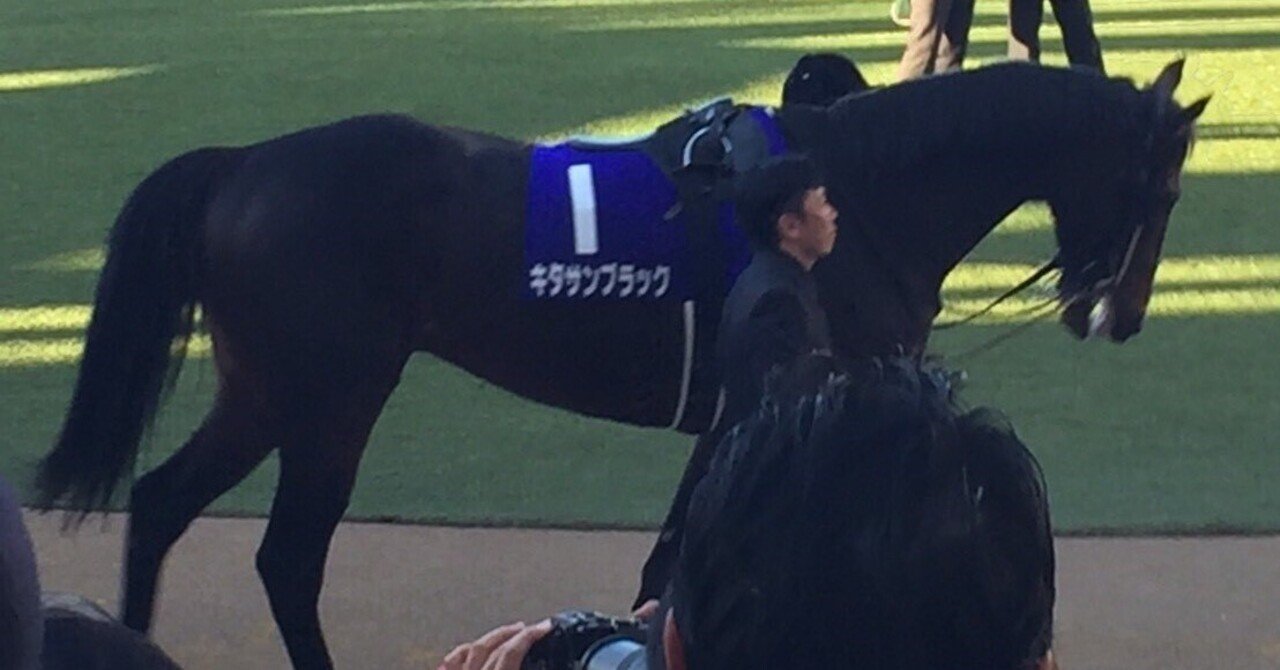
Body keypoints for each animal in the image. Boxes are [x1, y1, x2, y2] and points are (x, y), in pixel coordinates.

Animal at [34, 60, 1204, 668]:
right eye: (1162, 188)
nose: (1118, 314)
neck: (860, 191)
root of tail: (244, 164)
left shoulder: (744, 413)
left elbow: (670, 551)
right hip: (329, 396)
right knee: (284, 555)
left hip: (265, 389)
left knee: (162, 500)